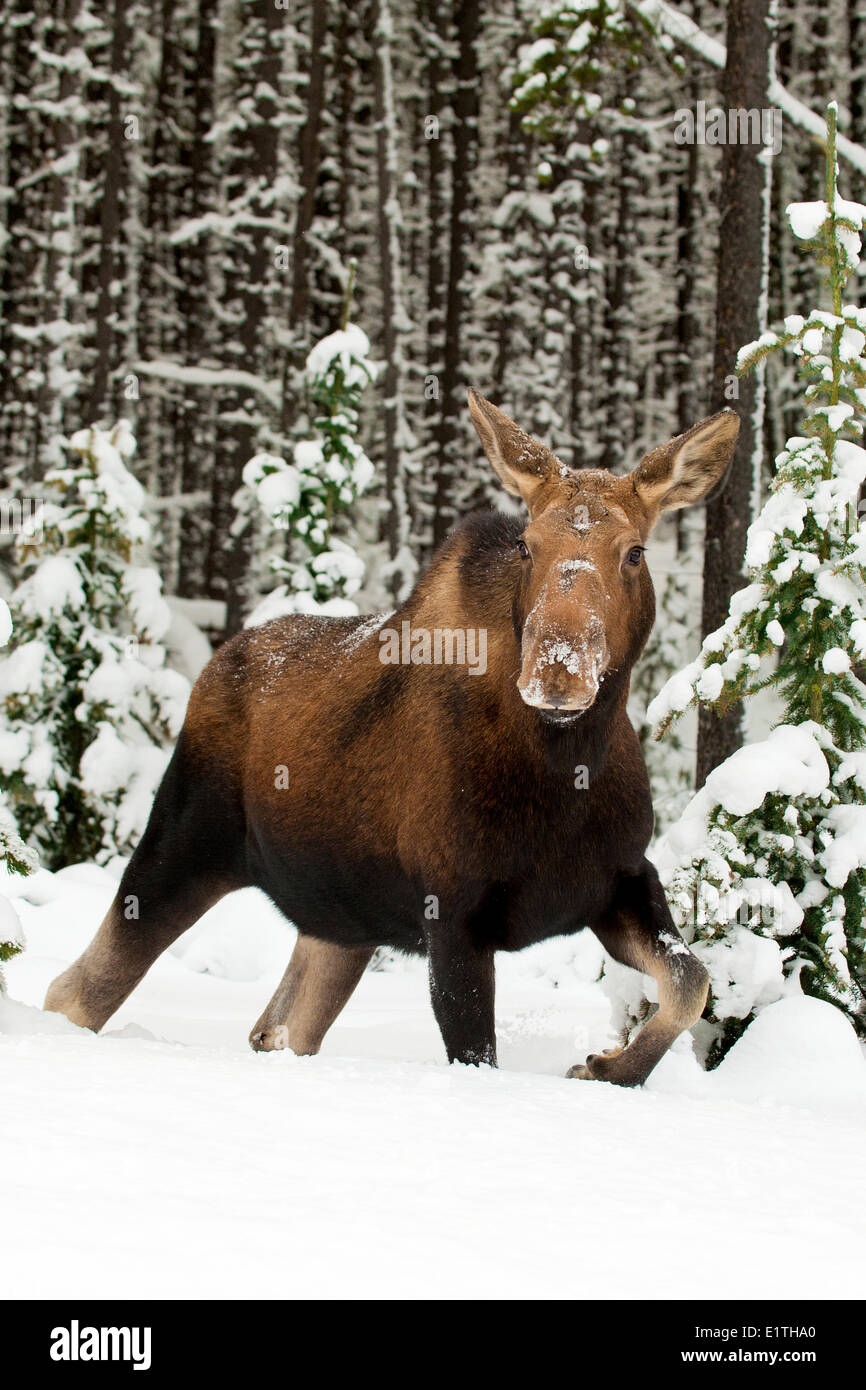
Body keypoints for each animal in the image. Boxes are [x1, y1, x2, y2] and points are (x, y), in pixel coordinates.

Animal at [45, 391, 739, 1086]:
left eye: (635, 551)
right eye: (527, 545)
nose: (557, 670)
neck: (566, 764)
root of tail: (219, 661)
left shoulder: (619, 880)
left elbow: (692, 981)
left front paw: (609, 1067)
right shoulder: (453, 916)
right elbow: (479, 1056)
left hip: (339, 918)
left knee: (278, 1027)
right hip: (184, 842)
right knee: (74, 991)